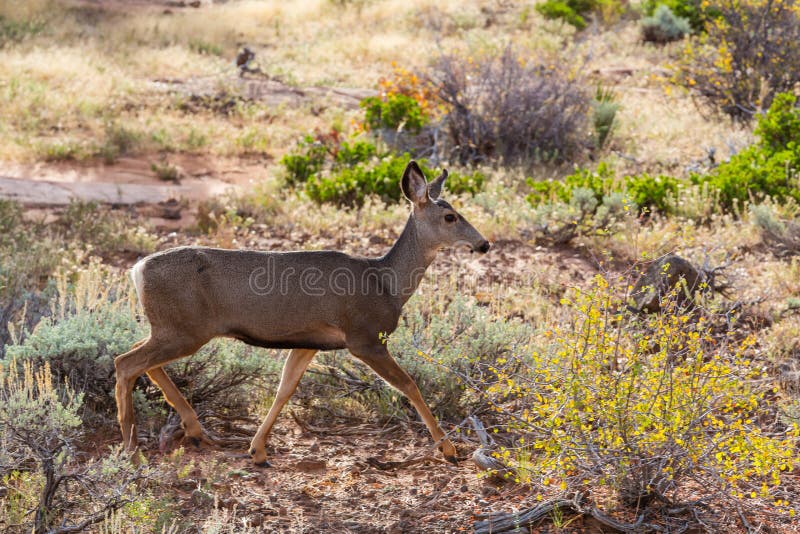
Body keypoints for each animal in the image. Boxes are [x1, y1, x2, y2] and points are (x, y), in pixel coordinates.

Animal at [114, 161, 490, 466]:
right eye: (450, 216)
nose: (484, 244)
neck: (386, 283)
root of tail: (137, 270)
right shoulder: (364, 337)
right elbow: (409, 384)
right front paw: (449, 449)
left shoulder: (309, 341)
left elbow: (286, 387)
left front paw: (258, 451)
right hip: (185, 330)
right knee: (126, 363)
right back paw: (131, 449)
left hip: (172, 328)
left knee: (138, 357)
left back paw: (192, 430)